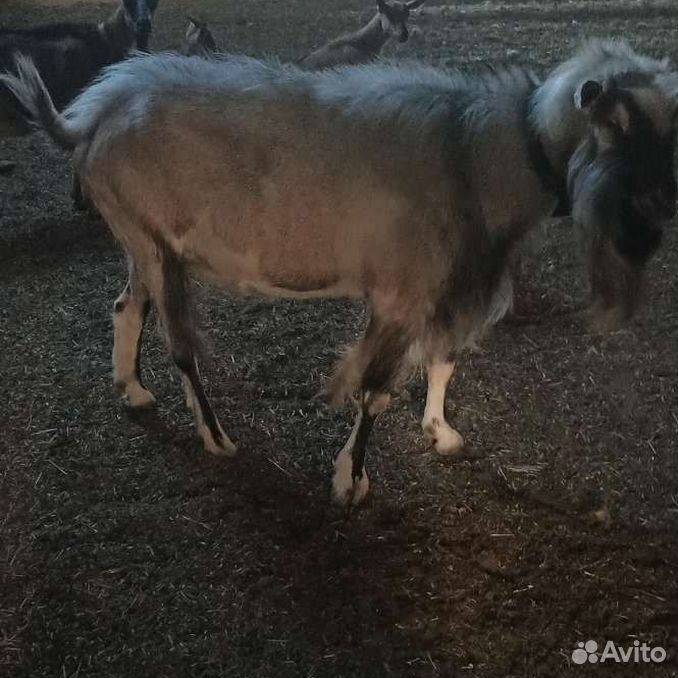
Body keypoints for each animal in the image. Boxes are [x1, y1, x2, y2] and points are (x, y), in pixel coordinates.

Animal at [3, 40, 675, 505]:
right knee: (181, 347)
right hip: (149, 240)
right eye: (617, 122)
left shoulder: (443, 290)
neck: (474, 155)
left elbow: (443, 361)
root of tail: (92, 116)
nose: (662, 208)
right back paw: (216, 437)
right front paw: (350, 480)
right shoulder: (404, 294)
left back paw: (132, 389)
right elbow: (374, 391)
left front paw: (440, 430)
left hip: (142, 242)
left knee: (126, 307)